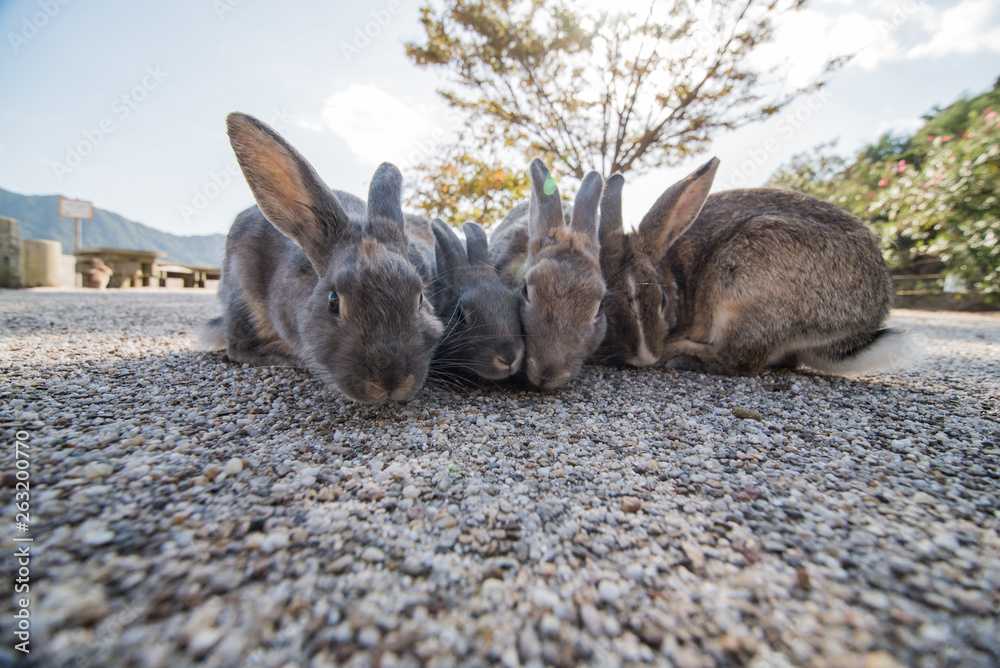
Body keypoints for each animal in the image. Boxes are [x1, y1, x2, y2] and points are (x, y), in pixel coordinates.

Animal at [597, 157, 918, 375]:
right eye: (606, 311)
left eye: (663, 300)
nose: (646, 357)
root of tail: (869, 315)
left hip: (742, 286)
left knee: (742, 359)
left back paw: (677, 354)